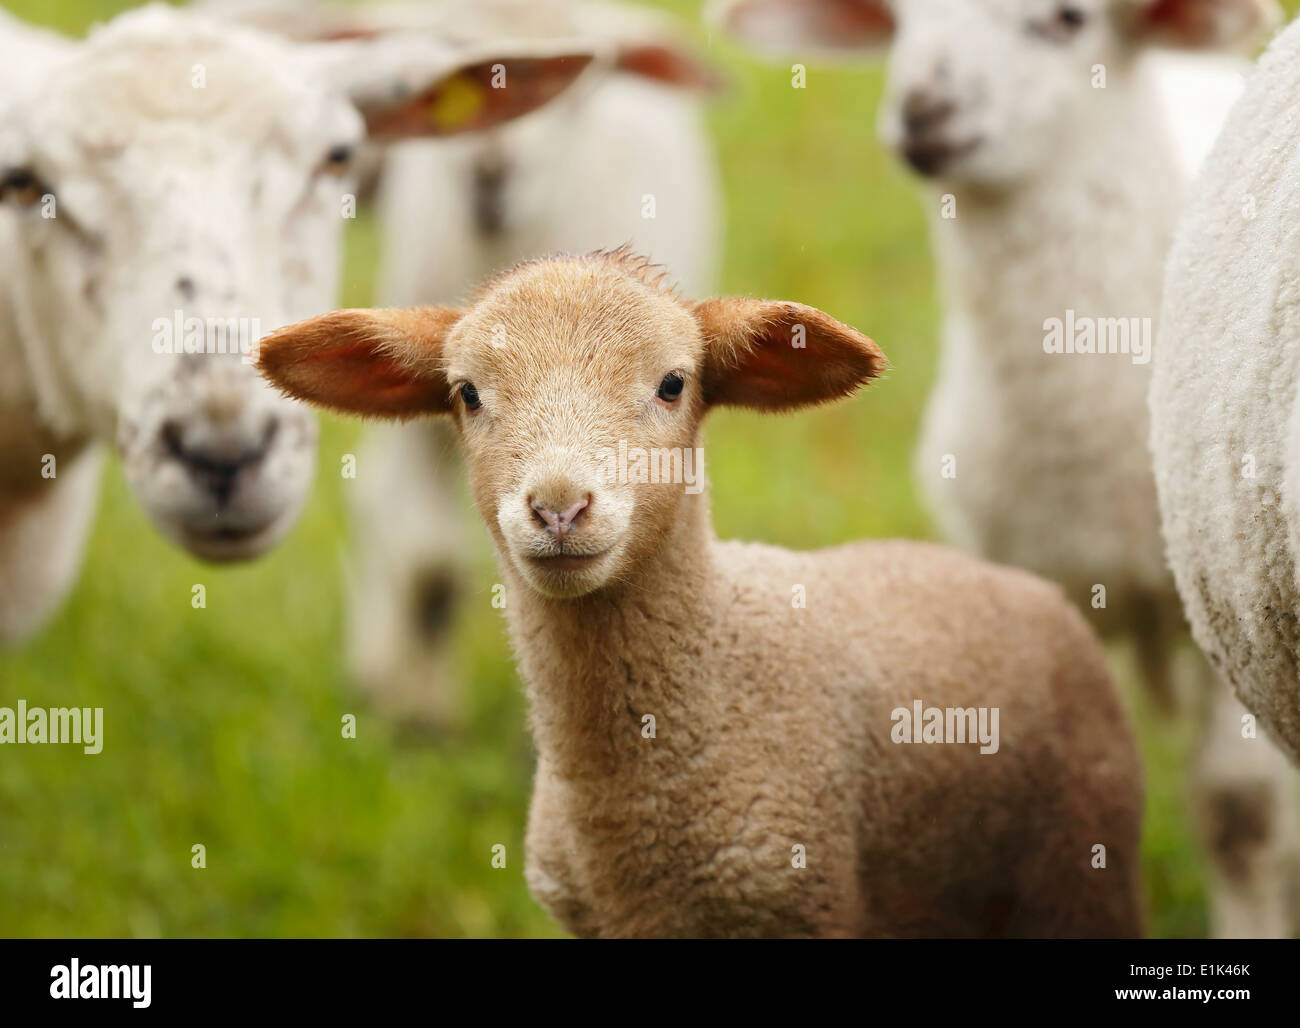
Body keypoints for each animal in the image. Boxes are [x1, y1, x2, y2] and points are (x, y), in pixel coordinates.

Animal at [258, 248, 1146, 938]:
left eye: (672, 384)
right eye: (468, 394)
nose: (558, 508)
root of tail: (1015, 582)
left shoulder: (805, 900)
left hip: (1078, 864)